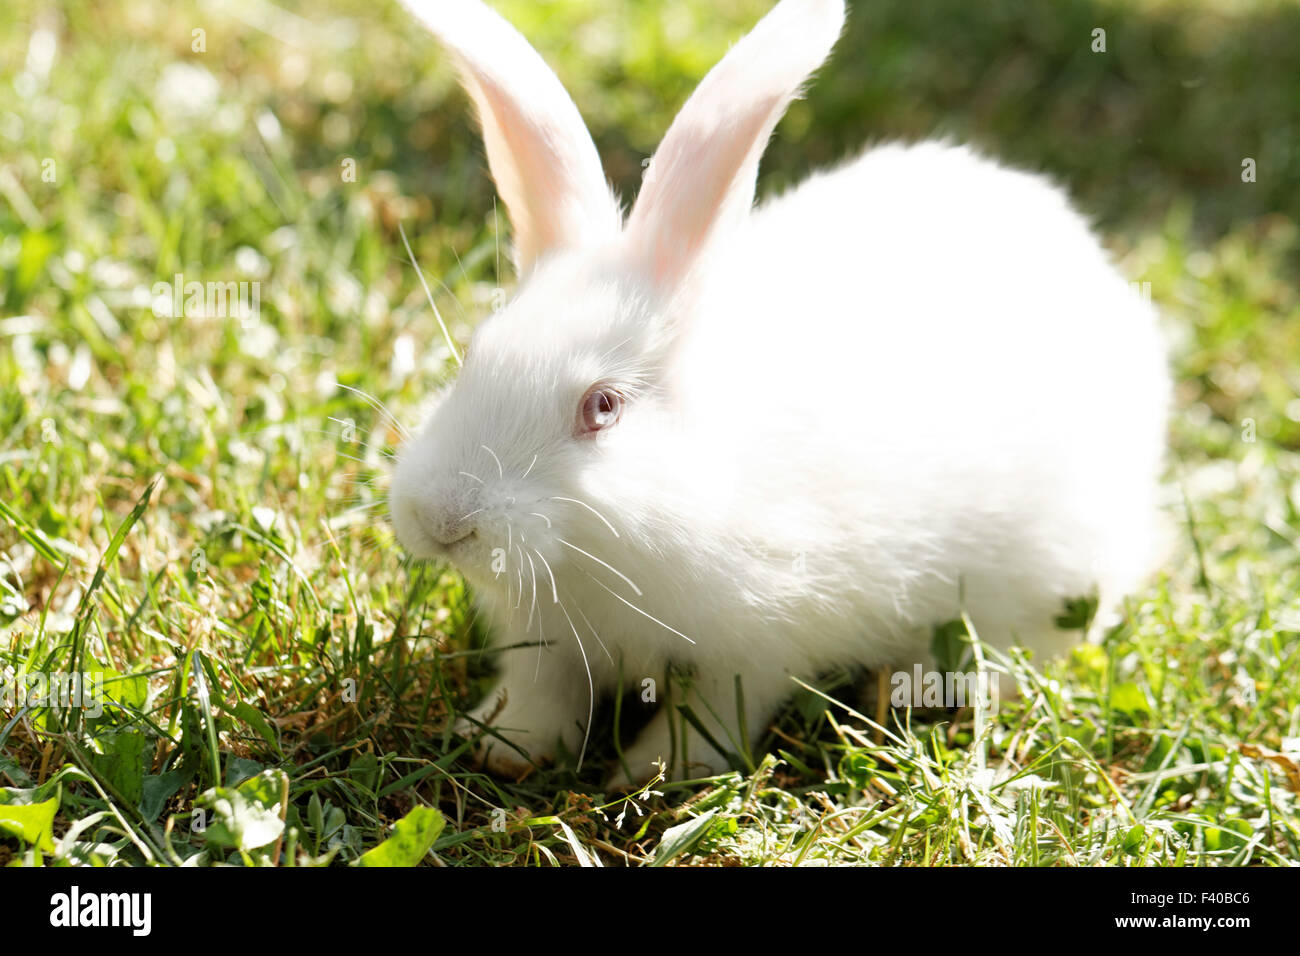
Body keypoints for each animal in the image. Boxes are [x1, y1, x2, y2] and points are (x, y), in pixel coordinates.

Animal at [388, 0, 1170, 786]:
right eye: (474, 357)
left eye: (602, 406)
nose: (444, 521)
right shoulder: (542, 639)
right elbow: (542, 692)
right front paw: (501, 744)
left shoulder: (754, 644)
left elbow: (708, 716)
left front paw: (654, 773)